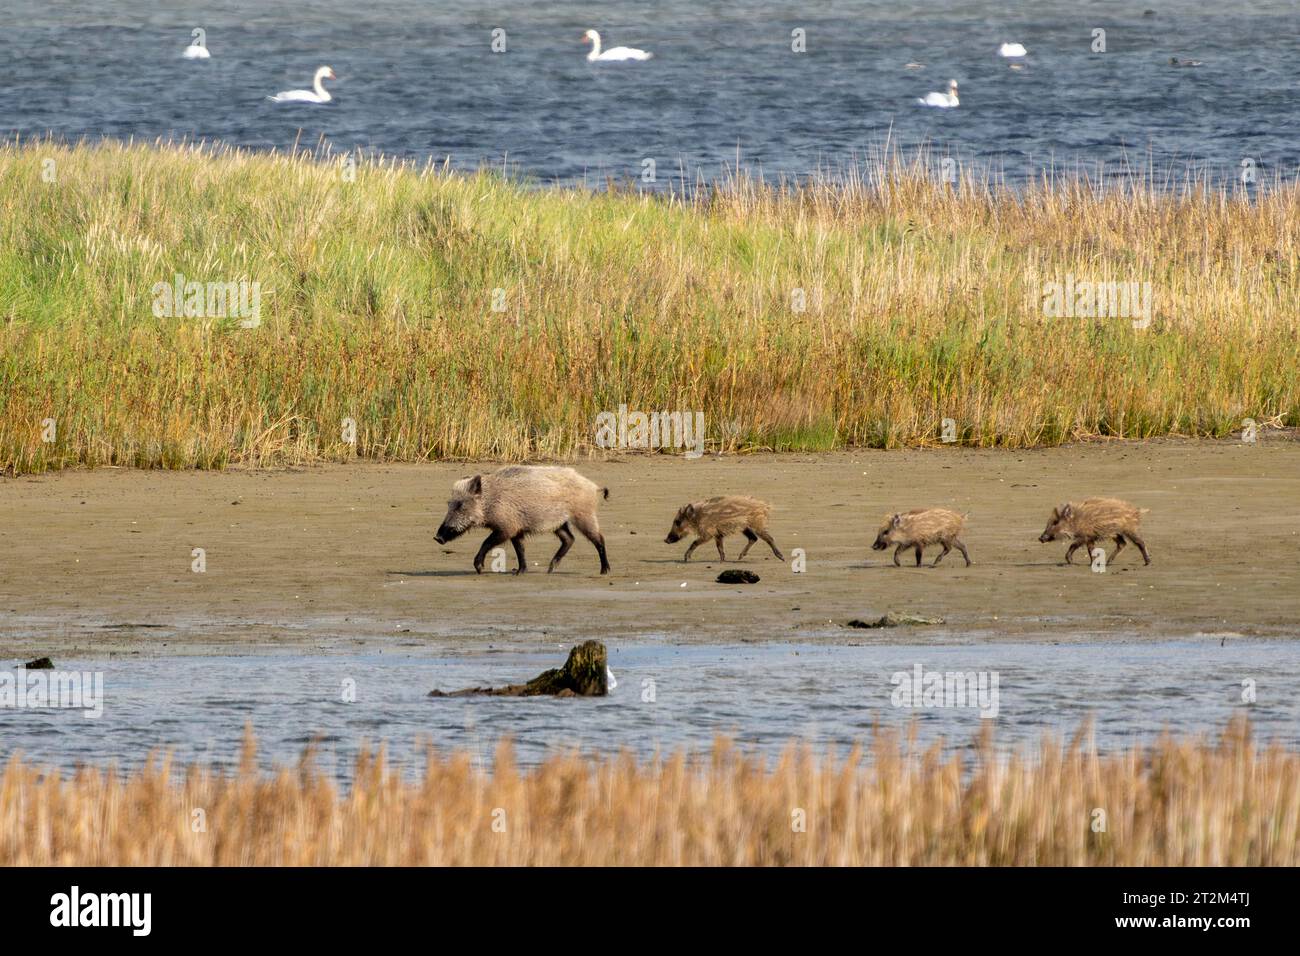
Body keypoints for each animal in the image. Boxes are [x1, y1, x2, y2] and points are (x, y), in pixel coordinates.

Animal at [434, 466, 610, 575]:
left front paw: (479, 569)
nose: (437, 537)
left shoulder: (507, 527)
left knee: (599, 539)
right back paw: (550, 569)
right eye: (449, 504)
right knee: (569, 539)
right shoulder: (516, 529)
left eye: (460, 505)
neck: (490, 500)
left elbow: (487, 542)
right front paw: (520, 572)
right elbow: (520, 549)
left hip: (584, 516)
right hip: (559, 523)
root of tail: (594, 487)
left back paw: (604, 571)